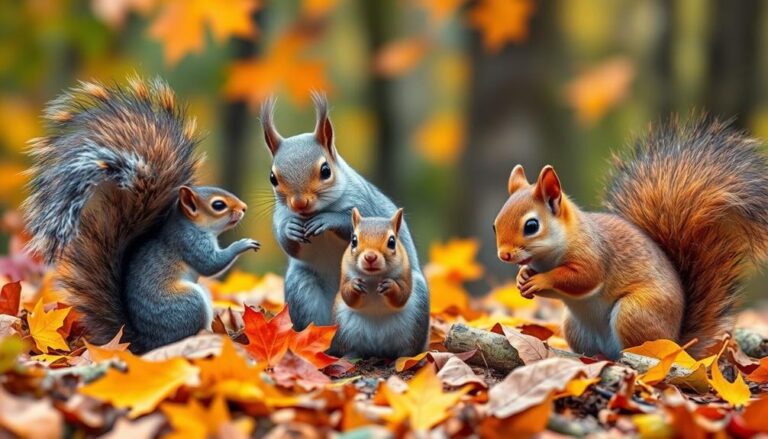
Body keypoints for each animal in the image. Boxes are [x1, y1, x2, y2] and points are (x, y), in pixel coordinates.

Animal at [23, 77, 260, 353]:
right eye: (219, 205)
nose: (243, 208)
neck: (193, 225)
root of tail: (145, 343)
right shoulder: (189, 243)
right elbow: (210, 264)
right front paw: (243, 244)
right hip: (189, 301)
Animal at [260, 93, 430, 336]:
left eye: (325, 170)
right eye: (273, 178)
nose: (299, 203)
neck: (315, 211)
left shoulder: (365, 204)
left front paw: (327, 220)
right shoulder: (280, 215)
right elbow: (288, 245)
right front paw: (290, 229)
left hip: (414, 295)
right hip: (301, 288)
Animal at [331, 208, 427, 358]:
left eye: (392, 242)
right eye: (353, 241)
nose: (370, 257)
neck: (374, 278)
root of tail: (378, 350)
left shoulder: (405, 273)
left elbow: (402, 295)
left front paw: (390, 286)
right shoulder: (345, 273)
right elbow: (347, 296)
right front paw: (354, 286)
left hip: (414, 327)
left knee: (406, 351)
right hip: (344, 330)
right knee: (351, 349)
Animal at [493, 116, 768, 359]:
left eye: (531, 226)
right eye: (495, 225)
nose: (504, 255)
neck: (549, 254)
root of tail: (677, 345)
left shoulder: (592, 253)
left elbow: (583, 277)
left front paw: (542, 280)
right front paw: (522, 278)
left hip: (634, 313)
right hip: (574, 327)